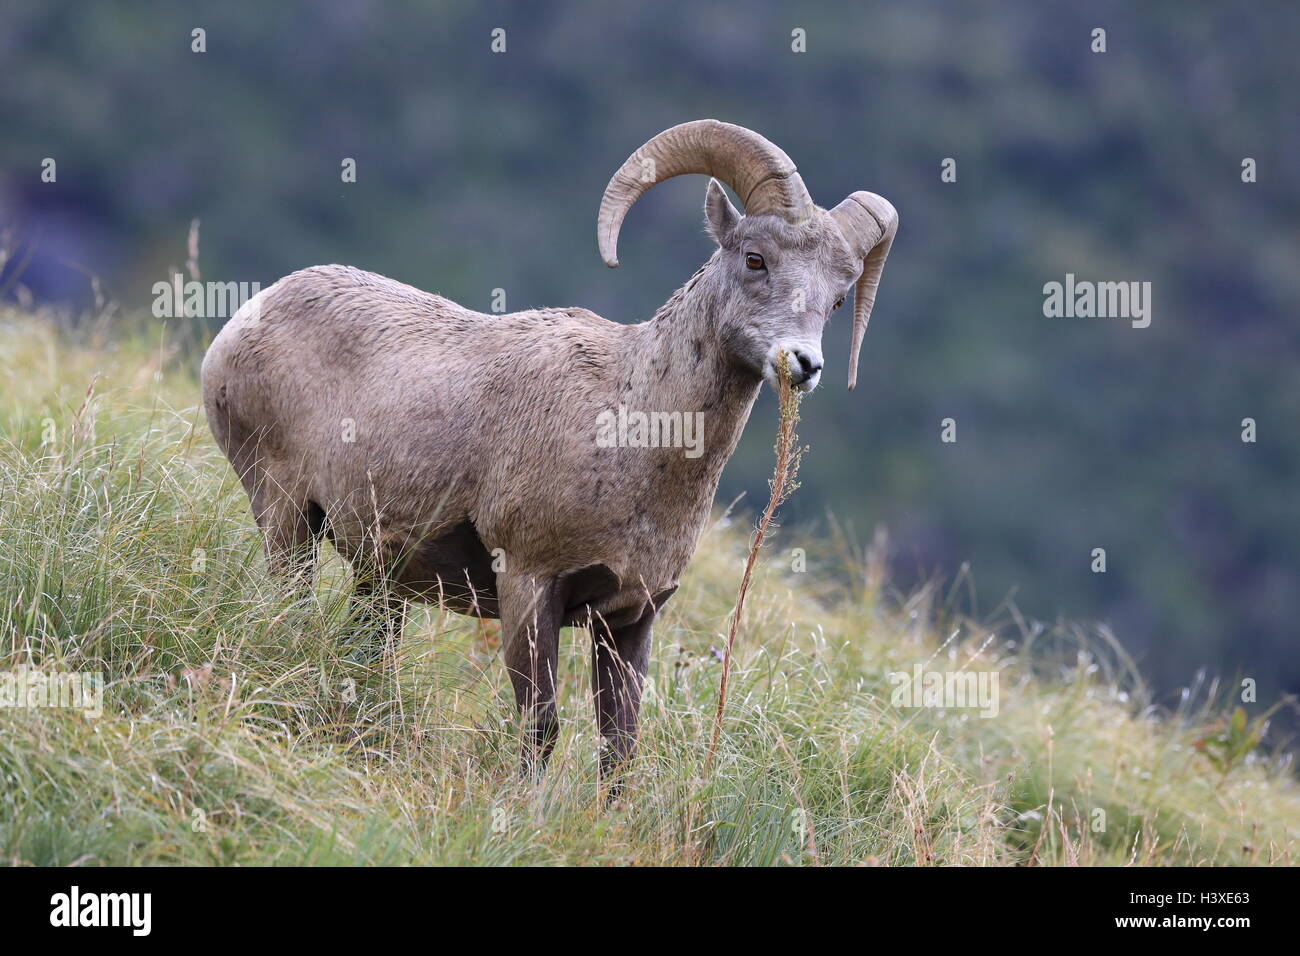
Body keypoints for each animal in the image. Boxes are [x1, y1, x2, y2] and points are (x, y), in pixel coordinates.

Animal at [201, 119, 898, 782]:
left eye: (839, 296)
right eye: (755, 258)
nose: (803, 364)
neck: (634, 432)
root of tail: (248, 316)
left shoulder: (631, 619)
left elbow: (619, 748)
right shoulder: (529, 587)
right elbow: (542, 728)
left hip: (380, 576)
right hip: (286, 517)